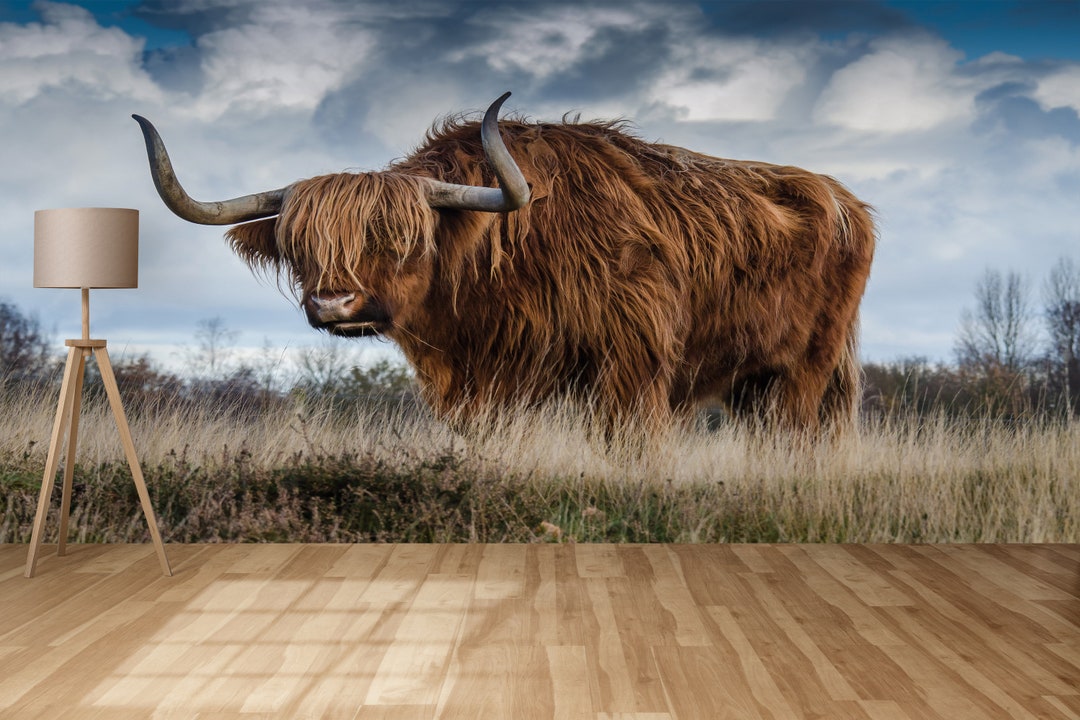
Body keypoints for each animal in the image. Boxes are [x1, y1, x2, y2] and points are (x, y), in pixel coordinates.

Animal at [134, 92, 875, 436]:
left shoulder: (633, 362)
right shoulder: (483, 381)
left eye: (403, 238)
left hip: (805, 370)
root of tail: (845, 199)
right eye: (300, 248)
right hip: (754, 380)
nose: (333, 304)